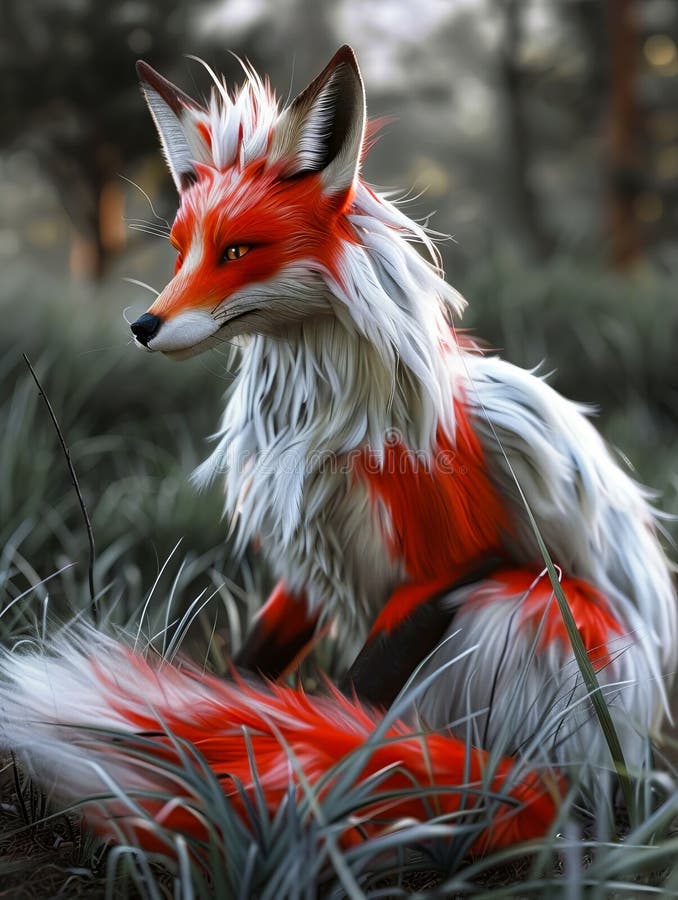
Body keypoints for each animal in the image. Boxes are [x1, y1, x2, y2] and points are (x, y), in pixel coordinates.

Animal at [1, 46, 676, 859]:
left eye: (237, 251)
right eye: (180, 251)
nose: (142, 325)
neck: (320, 429)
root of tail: (621, 759)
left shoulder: (449, 564)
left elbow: (356, 693)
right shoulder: (307, 555)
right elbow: (251, 668)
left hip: (528, 605)